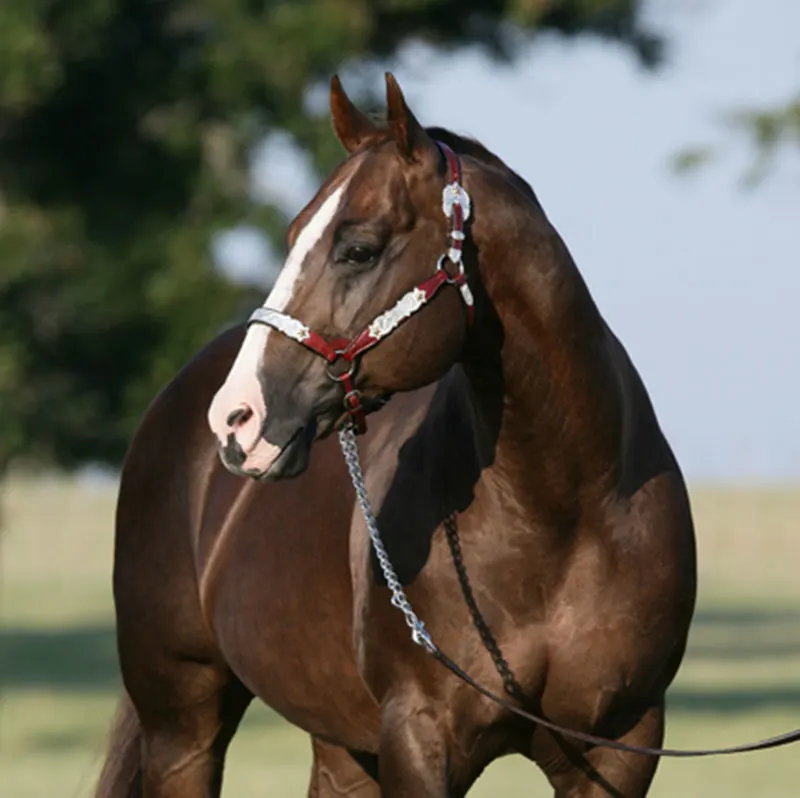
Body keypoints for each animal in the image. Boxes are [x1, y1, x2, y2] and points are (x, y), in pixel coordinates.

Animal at [95, 72, 697, 798]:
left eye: (358, 248)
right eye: (293, 234)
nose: (237, 418)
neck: (565, 514)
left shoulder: (621, 748)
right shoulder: (419, 736)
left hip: (339, 739)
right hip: (181, 724)